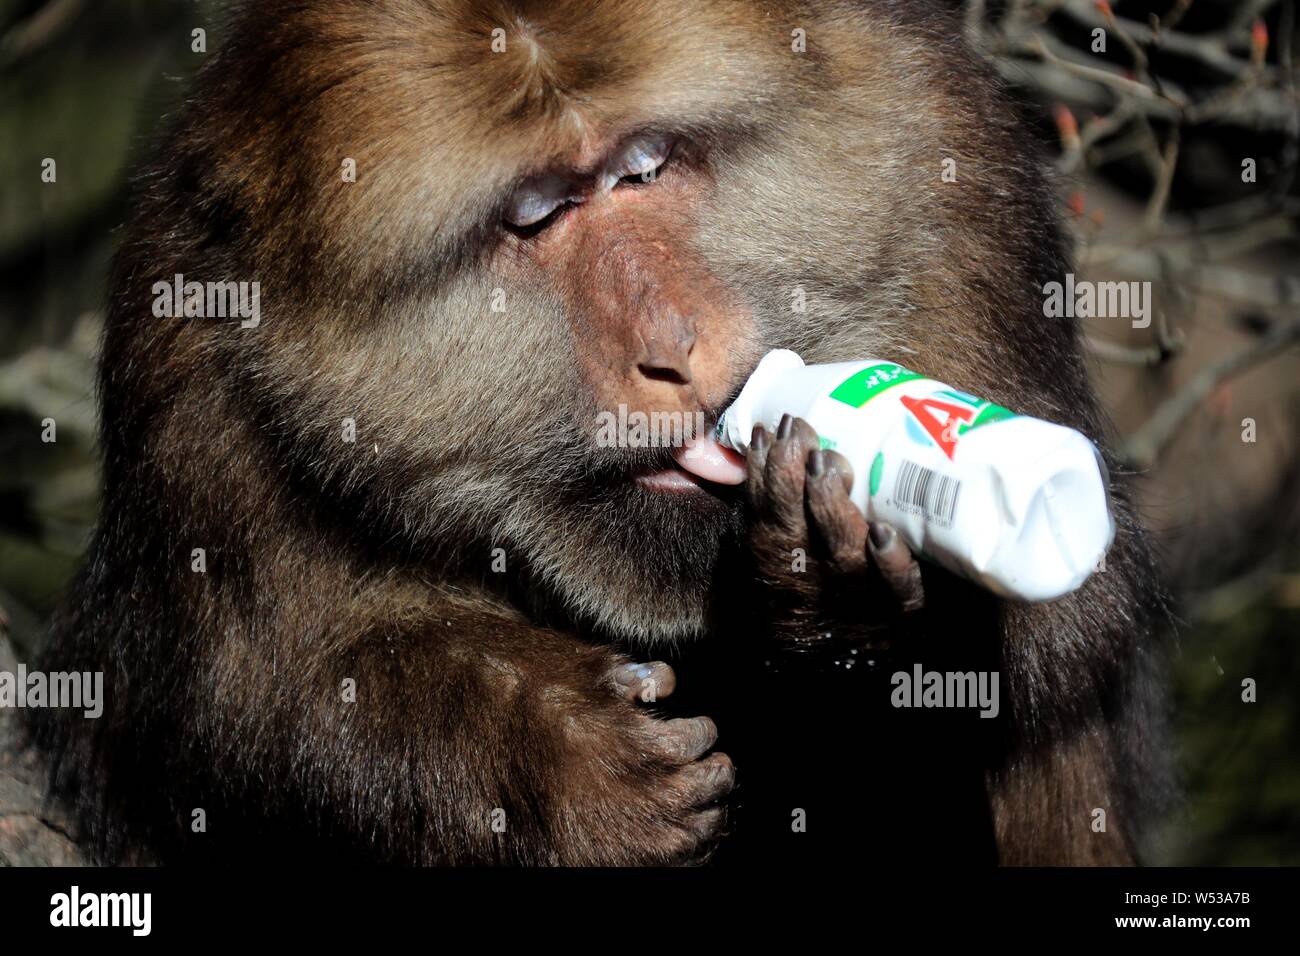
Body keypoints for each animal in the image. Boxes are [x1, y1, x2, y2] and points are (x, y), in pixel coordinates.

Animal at [26, 0, 1170, 866]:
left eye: (646, 165)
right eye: (533, 215)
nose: (674, 348)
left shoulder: (955, 202)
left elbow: (1051, 652)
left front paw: (840, 599)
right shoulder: (192, 359)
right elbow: (238, 706)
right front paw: (540, 754)